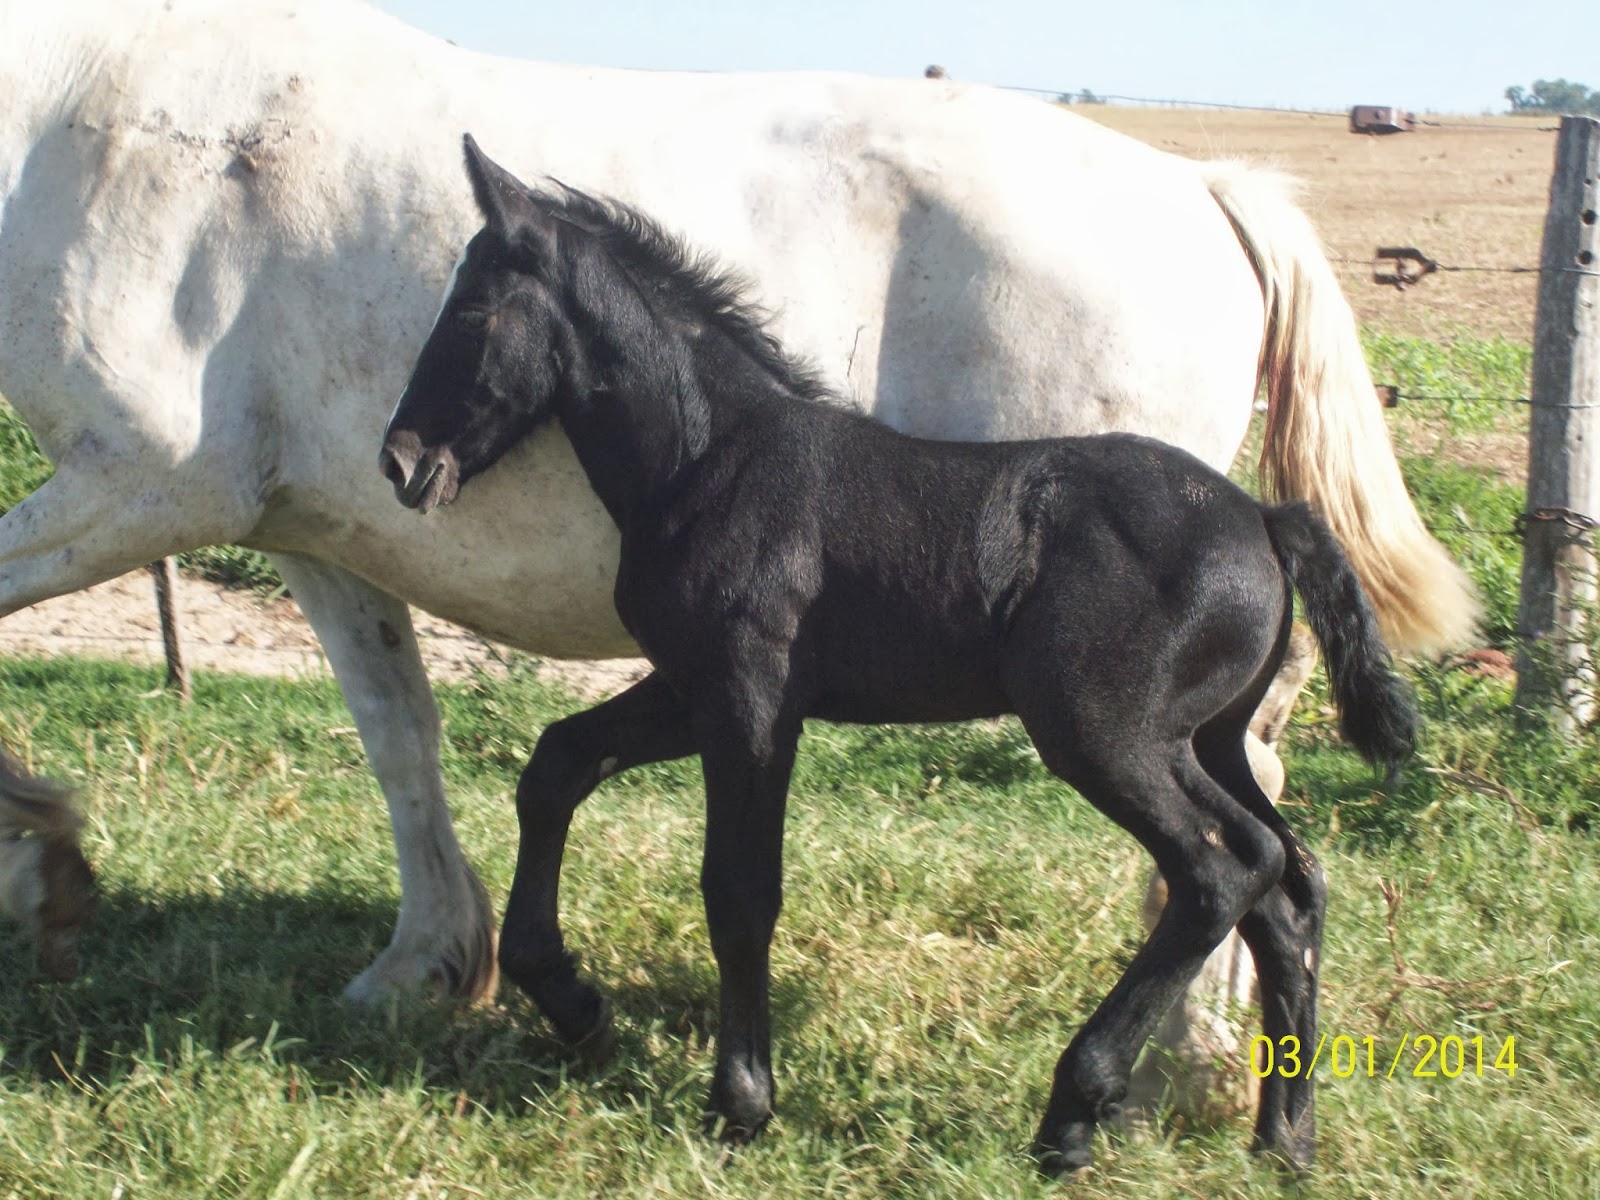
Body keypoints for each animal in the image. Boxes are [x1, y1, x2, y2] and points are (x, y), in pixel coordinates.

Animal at [1, 0, 1471, 1016]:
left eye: (476, 313)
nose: (408, 452)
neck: (86, 106)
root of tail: (1204, 188)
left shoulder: (141, 483)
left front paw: (49, 870)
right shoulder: (313, 534)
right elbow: (401, 740)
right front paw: (429, 966)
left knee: (1237, 817)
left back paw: (1185, 1060)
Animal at [378, 138, 1417, 1174]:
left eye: (471, 313)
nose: (399, 461)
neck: (711, 460)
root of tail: (1267, 520)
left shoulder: (751, 698)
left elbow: (740, 886)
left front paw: (740, 1103)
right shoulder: (688, 686)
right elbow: (557, 762)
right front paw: (574, 1004)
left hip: (1107, 736)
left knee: (1220, 871)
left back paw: (1074, 1112)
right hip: (1208, 741)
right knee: (1290, 883)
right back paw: (1284, 1138)